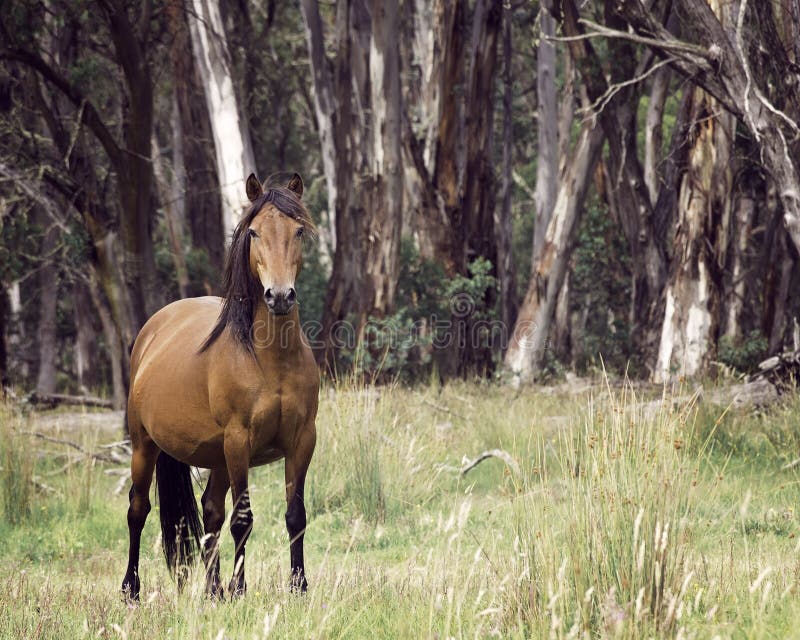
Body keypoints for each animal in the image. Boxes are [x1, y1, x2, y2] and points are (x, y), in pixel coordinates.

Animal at [120, 173, 319, 600]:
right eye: (255, 232)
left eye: (297, 231)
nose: (280, 296)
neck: (270, 360)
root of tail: (153, 330)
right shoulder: (239, 441)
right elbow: (242, 519)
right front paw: (240, 588)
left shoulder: (302, 441)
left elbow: (295, 515)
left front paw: (298, 586)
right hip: (146, 446)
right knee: (137, 510)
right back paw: (131, 589)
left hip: (217, 457)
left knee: (210, 509)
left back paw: (212, 590)